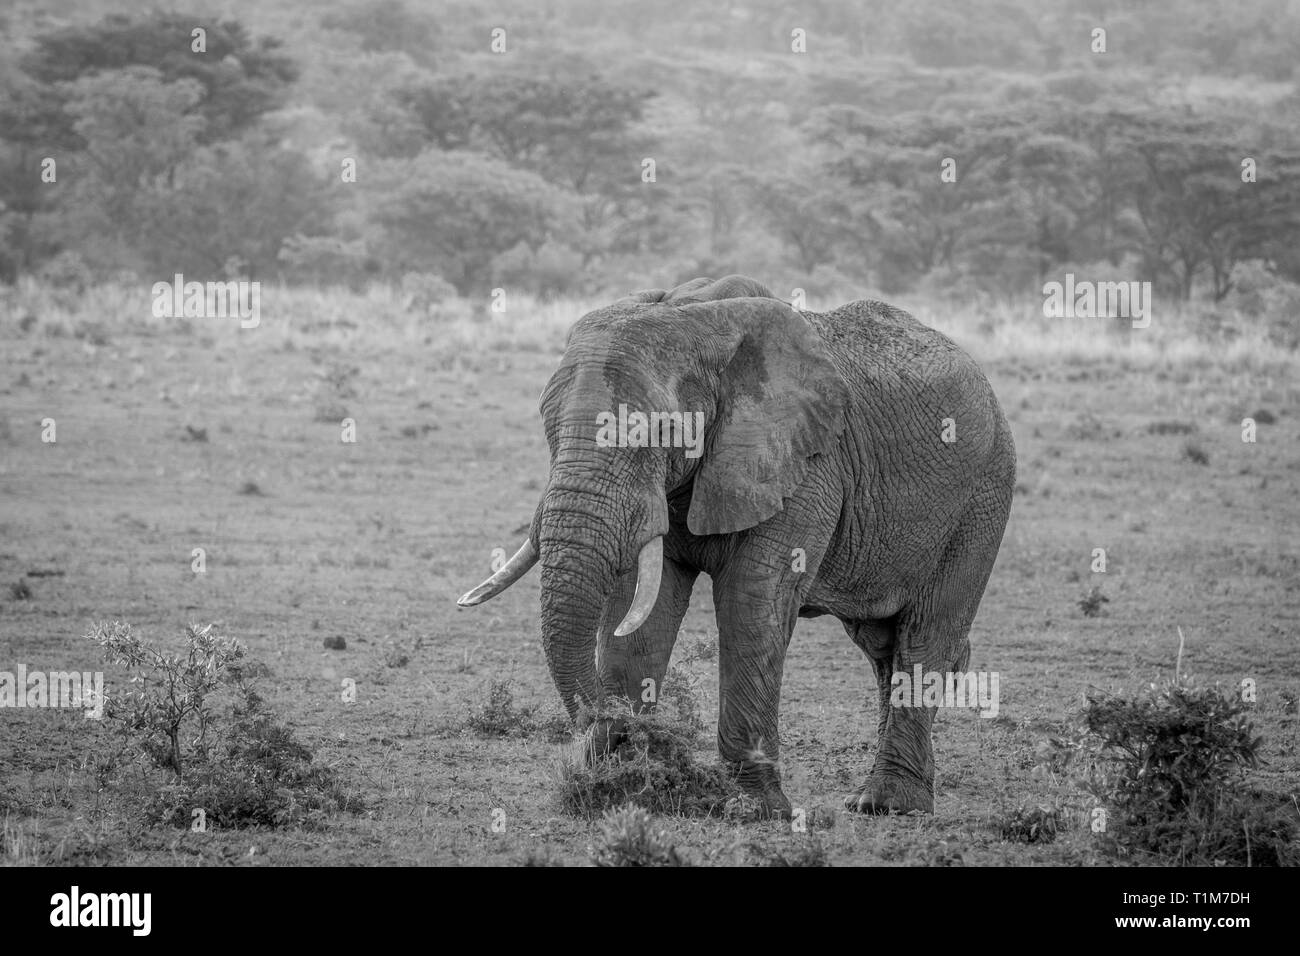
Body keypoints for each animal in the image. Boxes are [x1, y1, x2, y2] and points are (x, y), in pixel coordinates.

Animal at [458, 275, 1015, 817]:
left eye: (662, 430)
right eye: (548, 429)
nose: (617, 731)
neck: (695, 317)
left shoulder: (805, 465)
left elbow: (752, 602)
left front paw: (753, 808)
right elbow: (637, 610)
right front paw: (618, 789)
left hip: (983, 496)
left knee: (924, 638)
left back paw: (891, 805)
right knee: (882, 645)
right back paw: (877, 800)